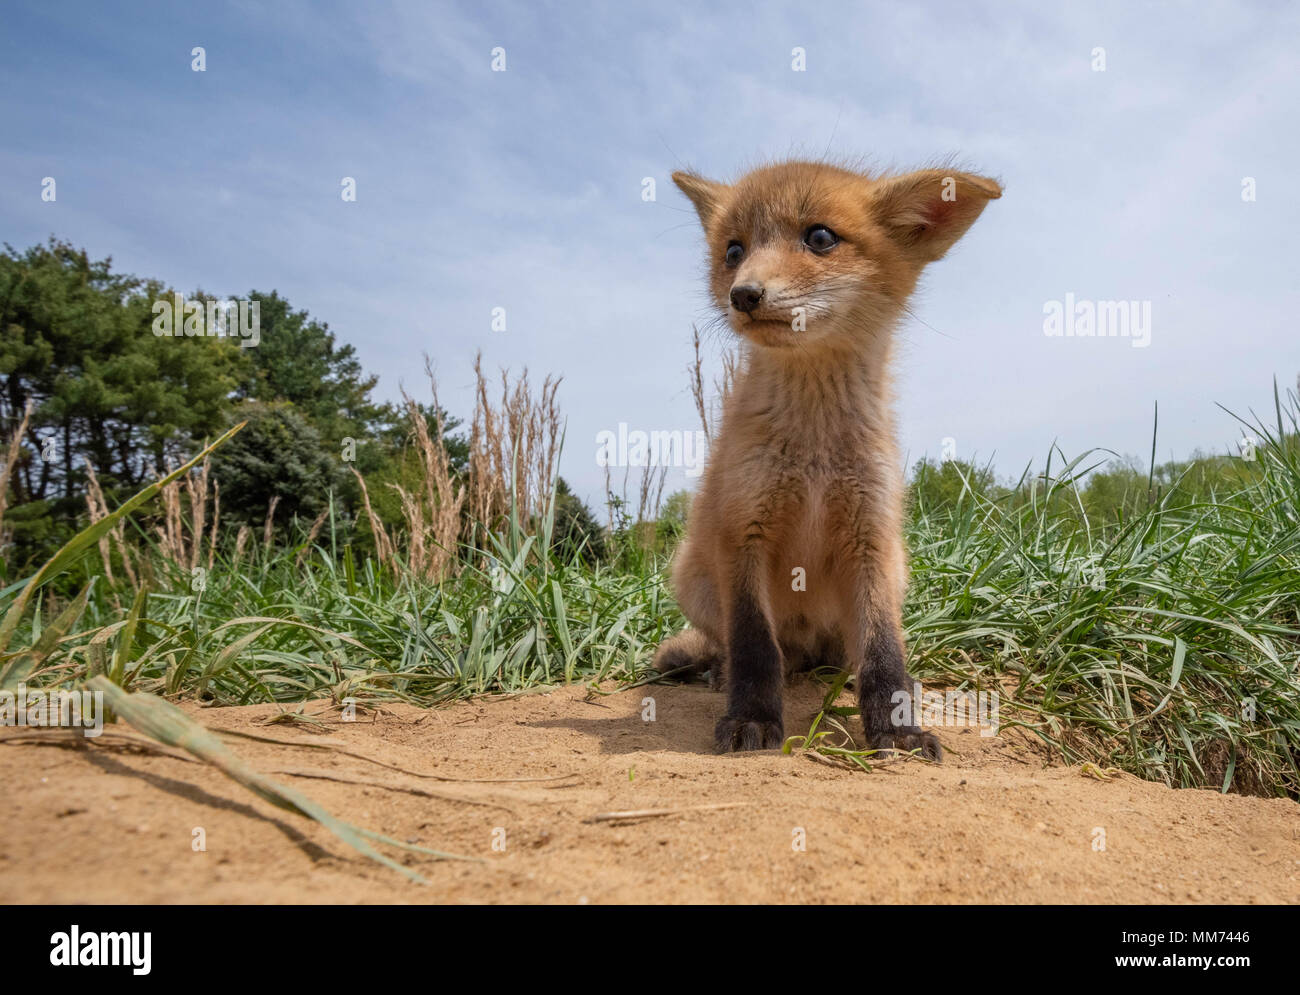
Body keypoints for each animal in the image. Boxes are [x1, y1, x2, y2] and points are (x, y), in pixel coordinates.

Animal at [654, 159, 1001, 757]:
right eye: (733, 250)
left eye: (819, 238)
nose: (744, 295)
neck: (815, 455)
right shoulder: (741, 532)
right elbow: (754, 647)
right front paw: (751, 718)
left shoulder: (872, 538)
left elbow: (884, 652)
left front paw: (896, 728)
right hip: (694, 576)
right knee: (755, 650)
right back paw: (723, 671)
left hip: (895, 574)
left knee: (849, 655)